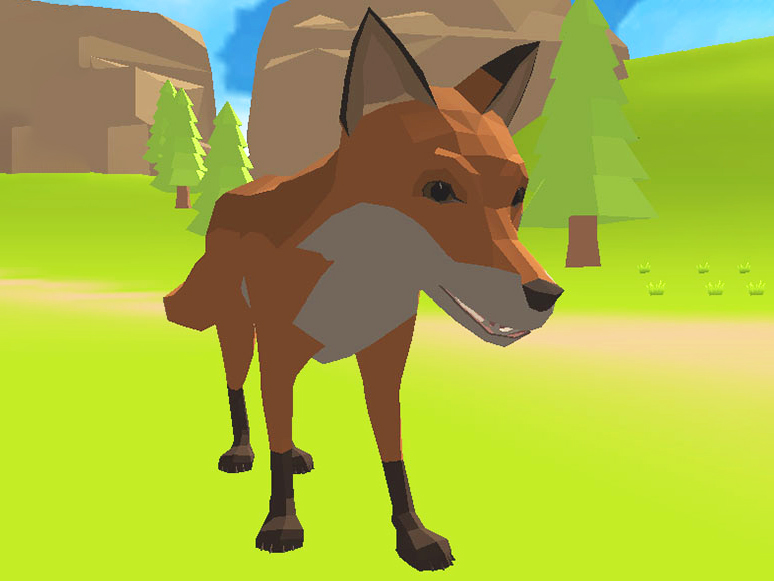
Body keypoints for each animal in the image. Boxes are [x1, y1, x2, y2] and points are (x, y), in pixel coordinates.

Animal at [163, 7, 563, 572]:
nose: (545, 295)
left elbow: (393, 460)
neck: (357, 286)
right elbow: (276, 451)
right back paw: (242, 452)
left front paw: (412, 537)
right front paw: (281, 525)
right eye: (439, 190)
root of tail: (234, 194)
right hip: (240, 330)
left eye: (518, 195)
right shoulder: (281, 352)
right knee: (240, 391)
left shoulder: (384, 363)